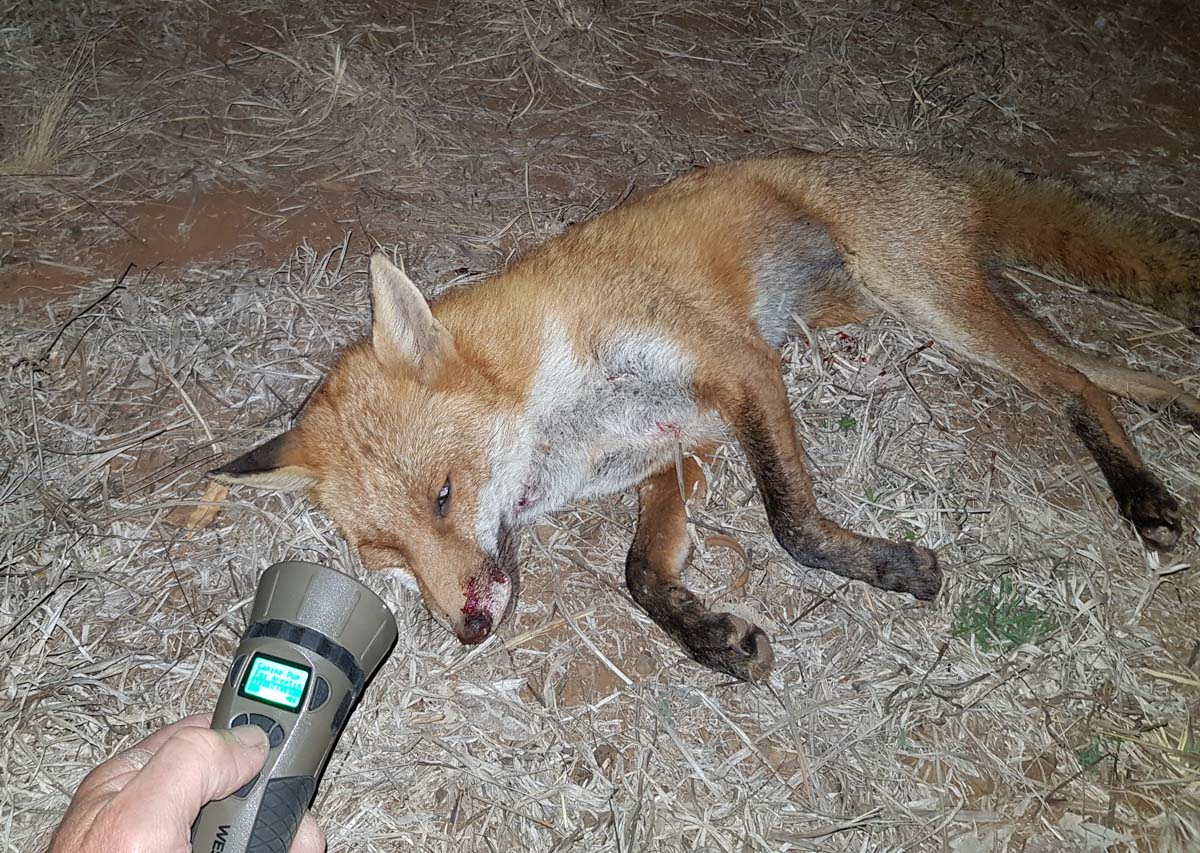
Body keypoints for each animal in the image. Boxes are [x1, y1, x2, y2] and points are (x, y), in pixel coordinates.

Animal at [213, 149, 1200, 682]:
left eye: (445, 496)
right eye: (385, 552)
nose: (470, 629)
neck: (560, 408)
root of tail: (919, 163)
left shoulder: (741, 368)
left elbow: (792, 522)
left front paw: (888, 567)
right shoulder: (684, 444)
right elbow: (641, 573)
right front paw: (711, 636)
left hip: (926, 299)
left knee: (1073, 385)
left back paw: (1142, 492)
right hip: (933, 310)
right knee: (1105, 373)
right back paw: (1178, 413)